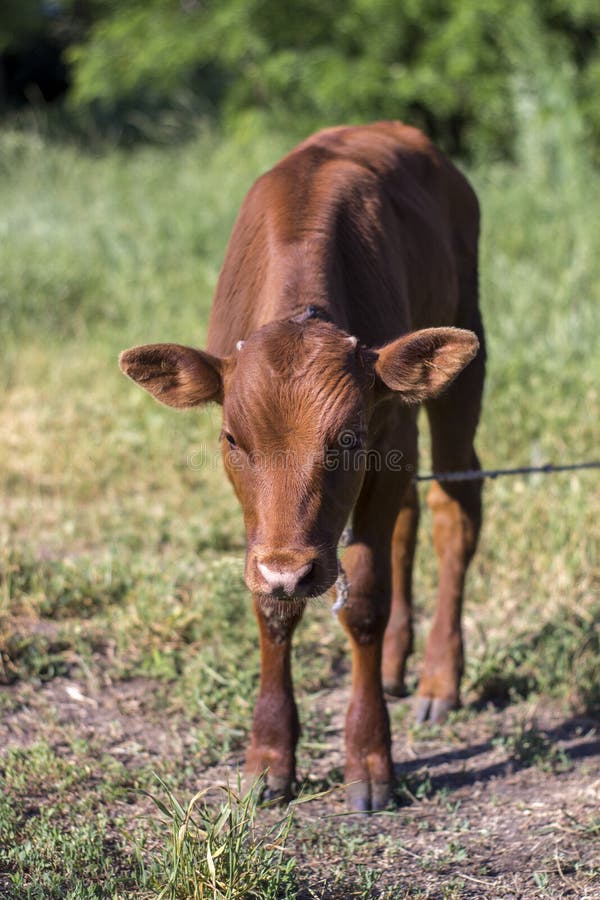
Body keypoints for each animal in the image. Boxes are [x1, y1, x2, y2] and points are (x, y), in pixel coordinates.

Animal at [119, 122, 485, 812]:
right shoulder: (269, 524)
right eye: (232, 438)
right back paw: (395, 666)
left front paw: (369, 758)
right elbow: (272, 608)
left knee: (456, 507)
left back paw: (439, 679)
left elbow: (364, 600)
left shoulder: (388, 436)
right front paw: (268, 757)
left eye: (347, 437)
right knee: (410, 519)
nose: (292, 571)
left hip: (466, 349)